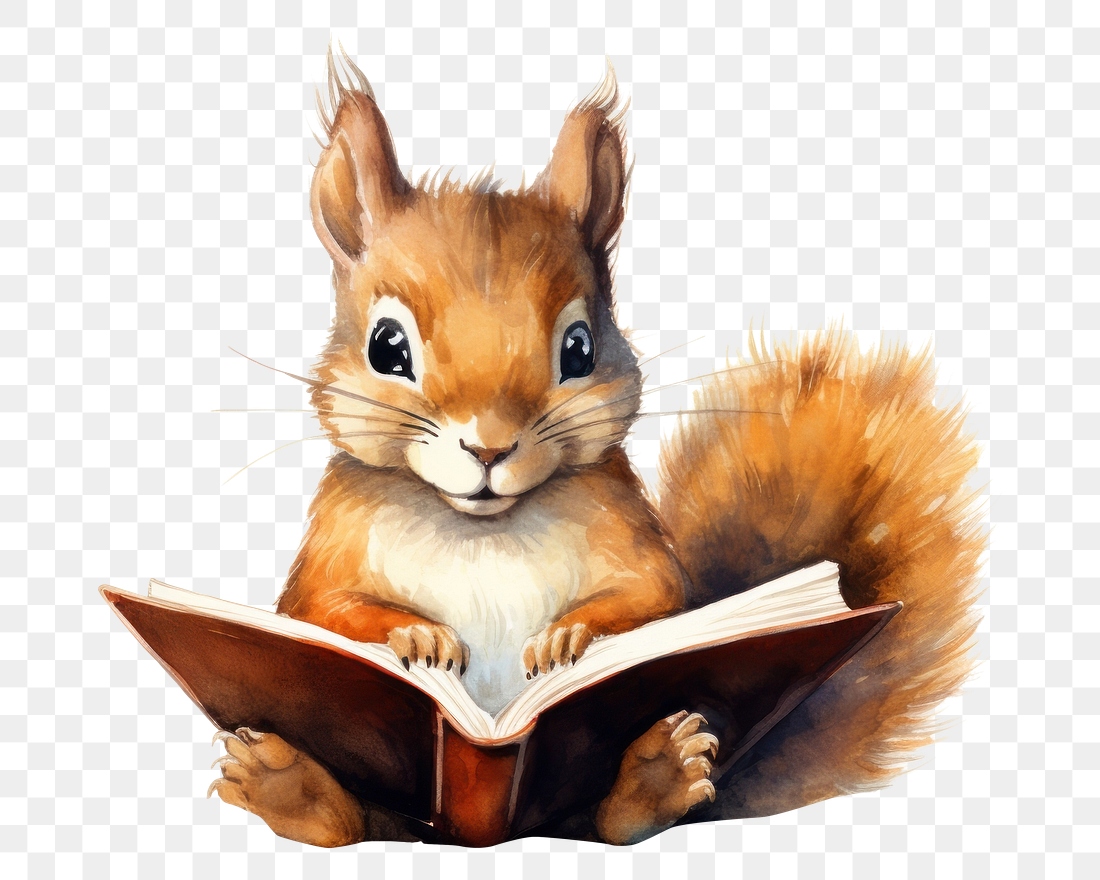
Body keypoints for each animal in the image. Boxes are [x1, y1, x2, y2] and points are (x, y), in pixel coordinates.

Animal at [208, 50, 984, 847]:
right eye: (385, 346)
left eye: (580, 348)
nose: (489, 447)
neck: (483, 530)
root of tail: (479, 836)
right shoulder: (333, 553)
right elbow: (319, 610)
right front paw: (417, 637)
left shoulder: (632, 545)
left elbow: (652, 597)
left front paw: (568, 639)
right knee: (351, 824)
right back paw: (282, 782)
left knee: (608, 823)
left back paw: (660, 771)